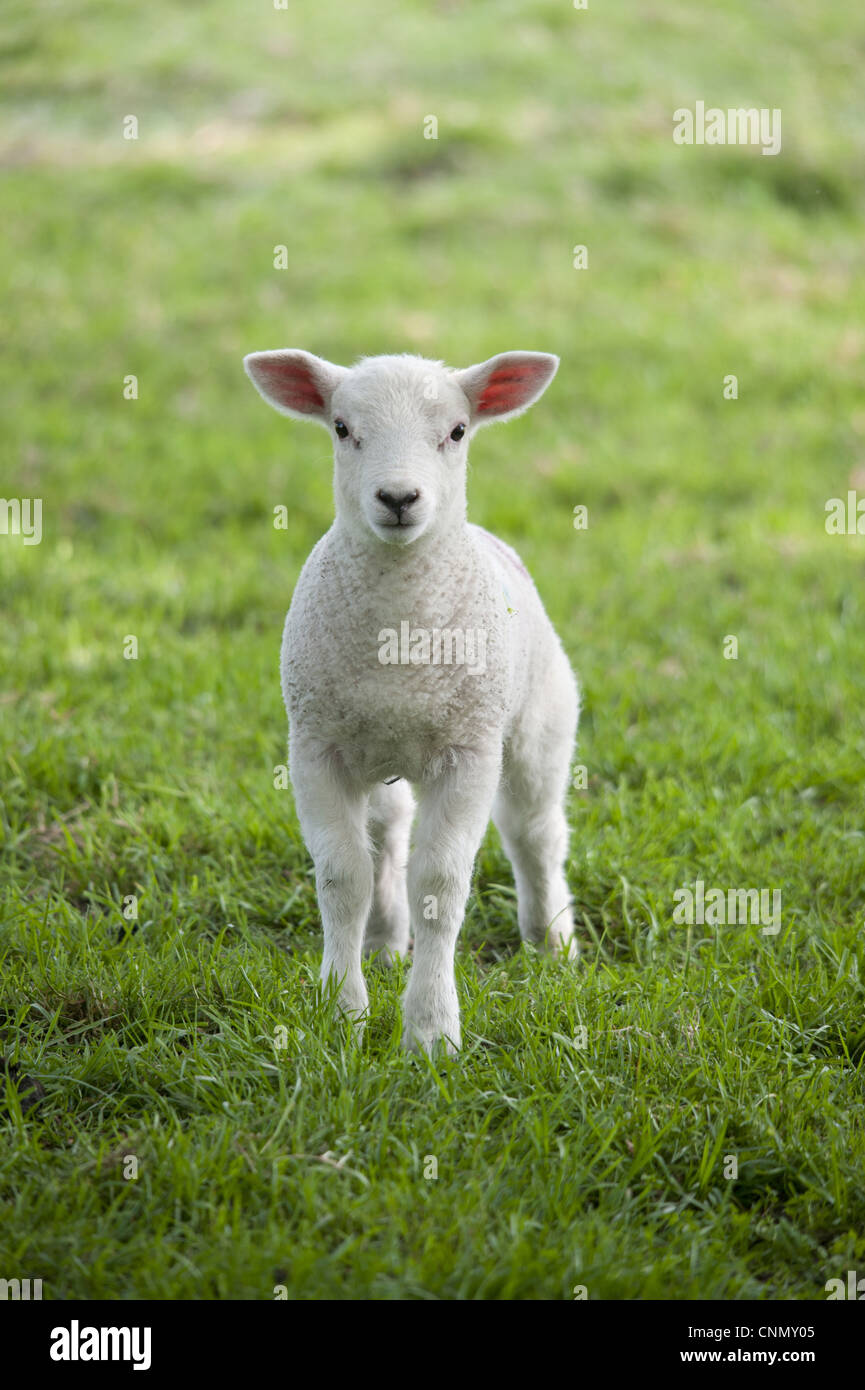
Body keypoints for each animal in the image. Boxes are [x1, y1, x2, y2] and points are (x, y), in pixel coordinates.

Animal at [243, 348, 580, 1054]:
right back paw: (383, 942)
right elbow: (343, 879)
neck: (398, 641)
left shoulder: (468, 752)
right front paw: (341, 1014)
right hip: (377, 750)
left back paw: (551, 941)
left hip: (538, 725)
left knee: (536, 833)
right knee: (387, 838)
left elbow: (441, 886)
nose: (398, 498)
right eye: (342, 428)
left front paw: (431, 1032)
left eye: (457, 431)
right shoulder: (316, 749)